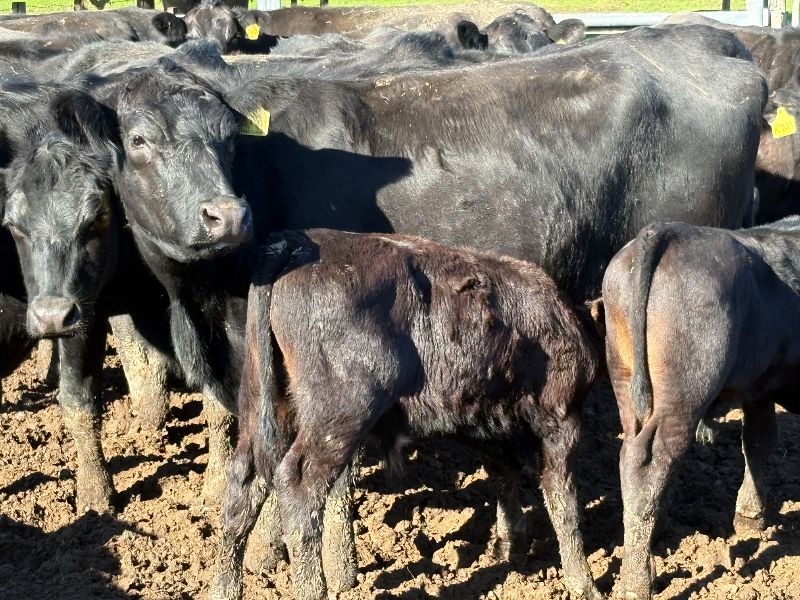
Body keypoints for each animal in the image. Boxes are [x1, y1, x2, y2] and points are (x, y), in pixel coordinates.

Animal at [209, 229, 604, 600]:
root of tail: (292, 244)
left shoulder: (488, 427)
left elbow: (505, 478)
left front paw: (509, 547)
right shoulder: (561, 419)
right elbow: (563, 503)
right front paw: (584, 584)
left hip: (265, 404)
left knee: (244, 482)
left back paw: (224, 589)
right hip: (338, 417)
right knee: (299, 489)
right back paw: (312, 590)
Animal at [602, 217, 800, 600]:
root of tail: (670, 230)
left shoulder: (760, 386)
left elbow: (759, 442)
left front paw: (750, 517)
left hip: (628, 381)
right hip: (687, 385)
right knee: (648, 463)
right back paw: (636, 584)